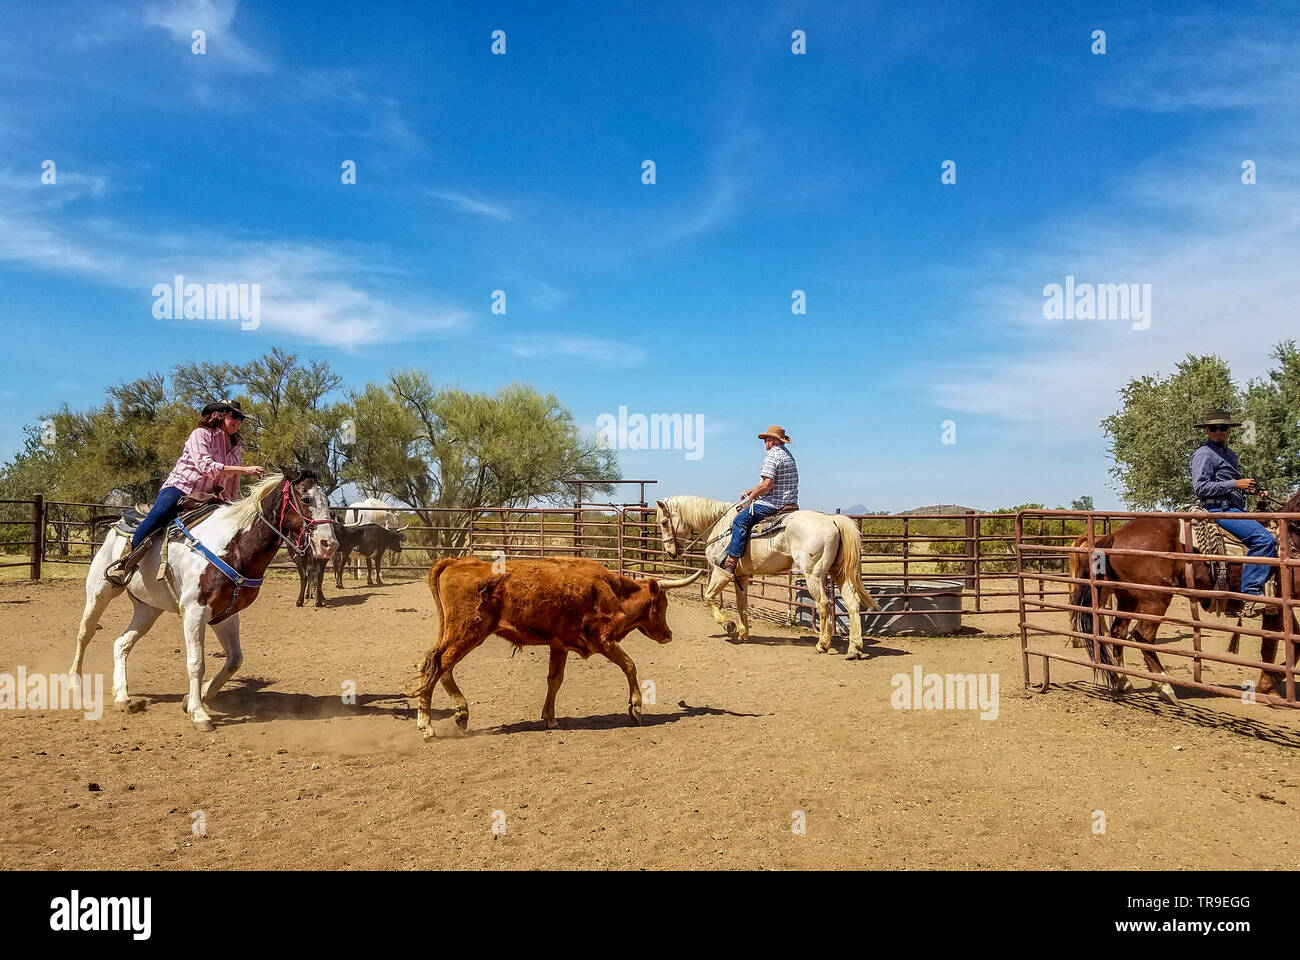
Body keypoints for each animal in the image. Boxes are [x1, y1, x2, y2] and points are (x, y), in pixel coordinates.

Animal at [69, 471, 337, 731]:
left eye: (328, 501)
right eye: (306, 499)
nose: (329, 544)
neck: (234, 546)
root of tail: (120, 520)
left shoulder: (225, 614)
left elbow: (235, 660)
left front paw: (196, 698)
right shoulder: (194, 612)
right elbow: (196, 662)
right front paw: (199, 713)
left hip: (148, 610)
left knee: (121, 644)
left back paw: (123, 698)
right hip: (100, 591)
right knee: (85, 632)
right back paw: (75, 681)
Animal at [411, 557, 703, 738]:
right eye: (664, 604)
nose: (668, 634)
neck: (612, 591)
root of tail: (456, 562)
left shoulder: (559, 645)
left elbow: (555, 680)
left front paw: (550, 718)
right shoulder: (603, 640)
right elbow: (630, 665)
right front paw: (636, 708)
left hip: (454, 632)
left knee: (436, 665)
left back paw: (460, 713)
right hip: (468, 632)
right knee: (437, 665)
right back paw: (427, 725)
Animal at [654, 496, 880, 658]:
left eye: (665, 522)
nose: (670, 551)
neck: (720, 527)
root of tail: (832, 519)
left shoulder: (721, 572)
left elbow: (708, 597)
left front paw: (729, 626)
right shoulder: (741, 576)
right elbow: (742, 604)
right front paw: (742, 633)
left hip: (814, 574)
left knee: (823, 604)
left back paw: (822, 644)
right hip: (838, 572)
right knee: (852, 603)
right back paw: (854, 648)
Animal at [1067, 491, 1300, 704]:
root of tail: (1116, 536)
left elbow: (1291, 640)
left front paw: (1273, 680)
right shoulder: (1277, 603)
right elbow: (1273, 644)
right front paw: (1268, 686)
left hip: (1128, 598)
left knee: (1118, 633)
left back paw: (1124, 681)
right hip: (1156, 598)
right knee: (1142, 635)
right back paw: (1164, 687)